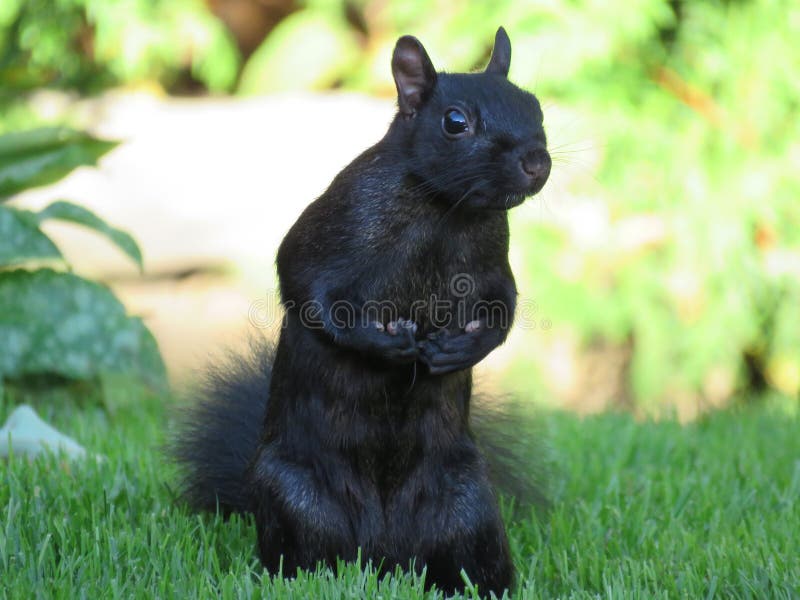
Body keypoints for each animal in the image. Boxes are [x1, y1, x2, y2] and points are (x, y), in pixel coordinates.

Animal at [173, 27, 551, 597]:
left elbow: (502, 309)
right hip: (297, 500)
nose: (537, 162)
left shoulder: (492, 265)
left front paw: (462, 348)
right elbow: (306, 289)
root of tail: (385, 553)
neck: (446, 211)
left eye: (537, 108)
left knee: (470, 559)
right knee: (308, 557)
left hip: (470, 507)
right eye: (455, 122)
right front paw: (383, 343)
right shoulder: (333, 227)